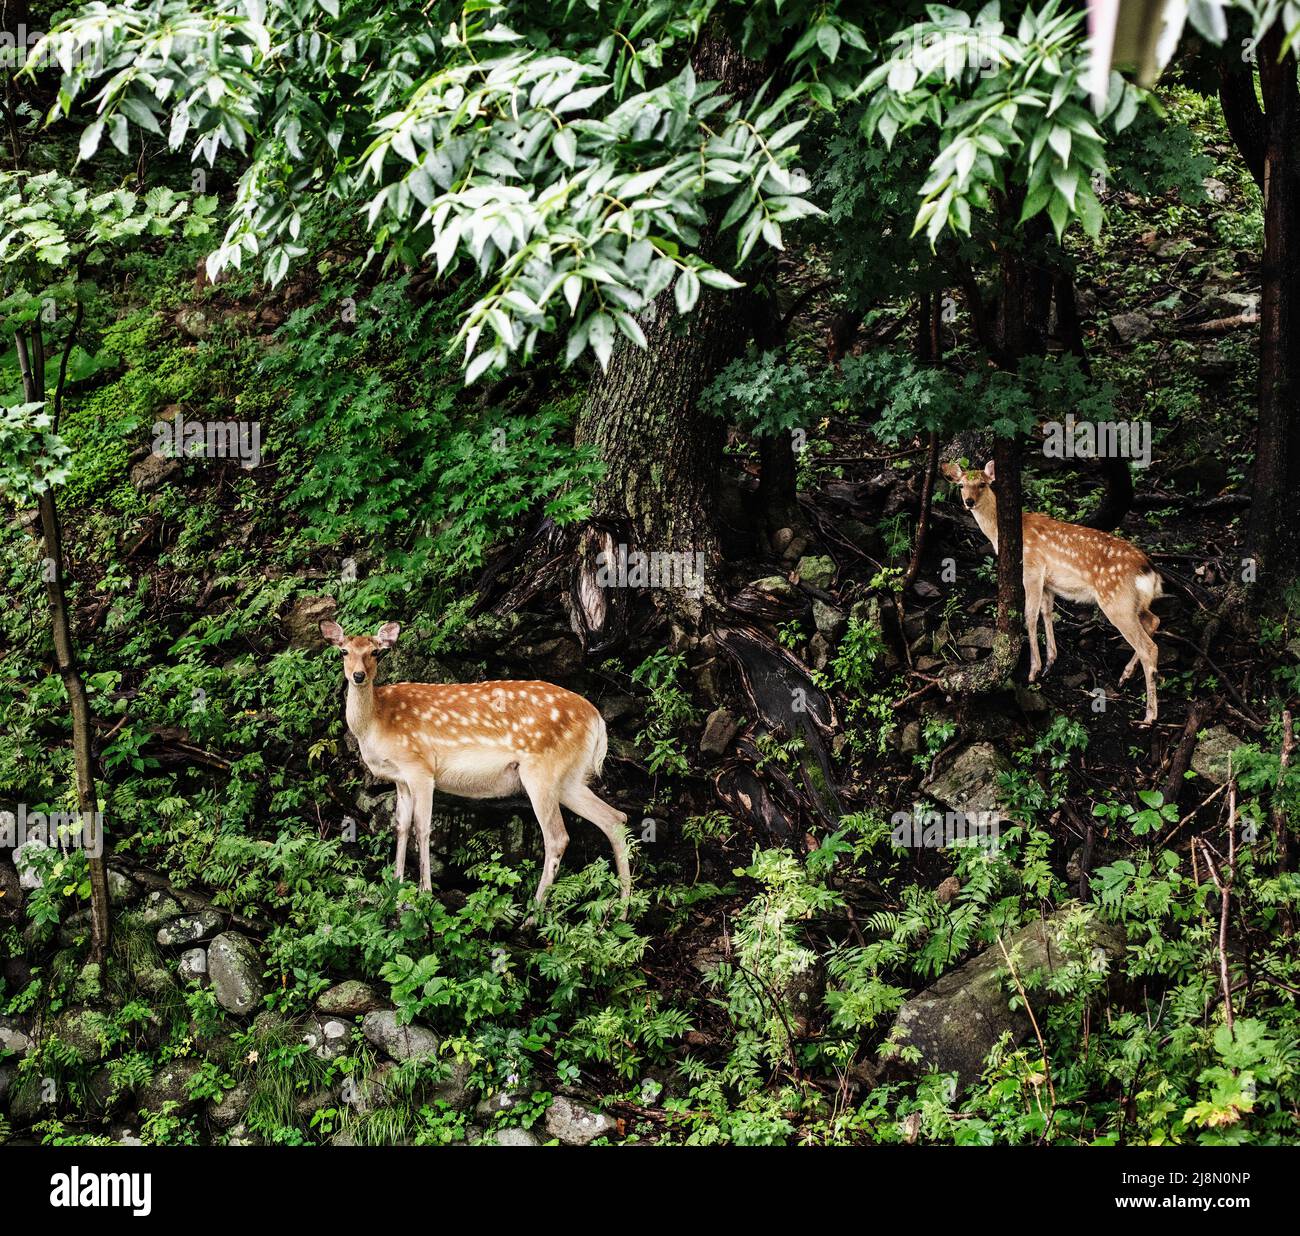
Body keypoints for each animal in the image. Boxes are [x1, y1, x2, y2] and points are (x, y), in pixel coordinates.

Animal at [319, 620, 631, 917]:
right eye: (343, 651)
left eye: (375, 652)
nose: (358, 675)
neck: (376, 723)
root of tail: (597, 720)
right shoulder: (401, 779)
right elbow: (401, 827)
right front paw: (395, 896)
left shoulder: (420, 767)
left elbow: (422, 828)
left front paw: (424, 896)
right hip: (569, 778)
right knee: (615, 818)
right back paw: (623, 908)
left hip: (541, 769)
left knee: (558, 836)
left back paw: (534, 914)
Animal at [941, 459, 1164, 724]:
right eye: (961, 485)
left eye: (983, 484)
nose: (969, 501)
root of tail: (1150, 573)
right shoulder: (1049, 583)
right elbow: (1046, 613)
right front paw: (1050, 661)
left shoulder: (1032, 570)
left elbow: (1030, 616)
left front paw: (1033, 670)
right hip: (1134, 604)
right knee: (1154, 620)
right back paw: (1125, 676)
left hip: (1116, 601)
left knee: (1149, 647)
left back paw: (1149, 716)